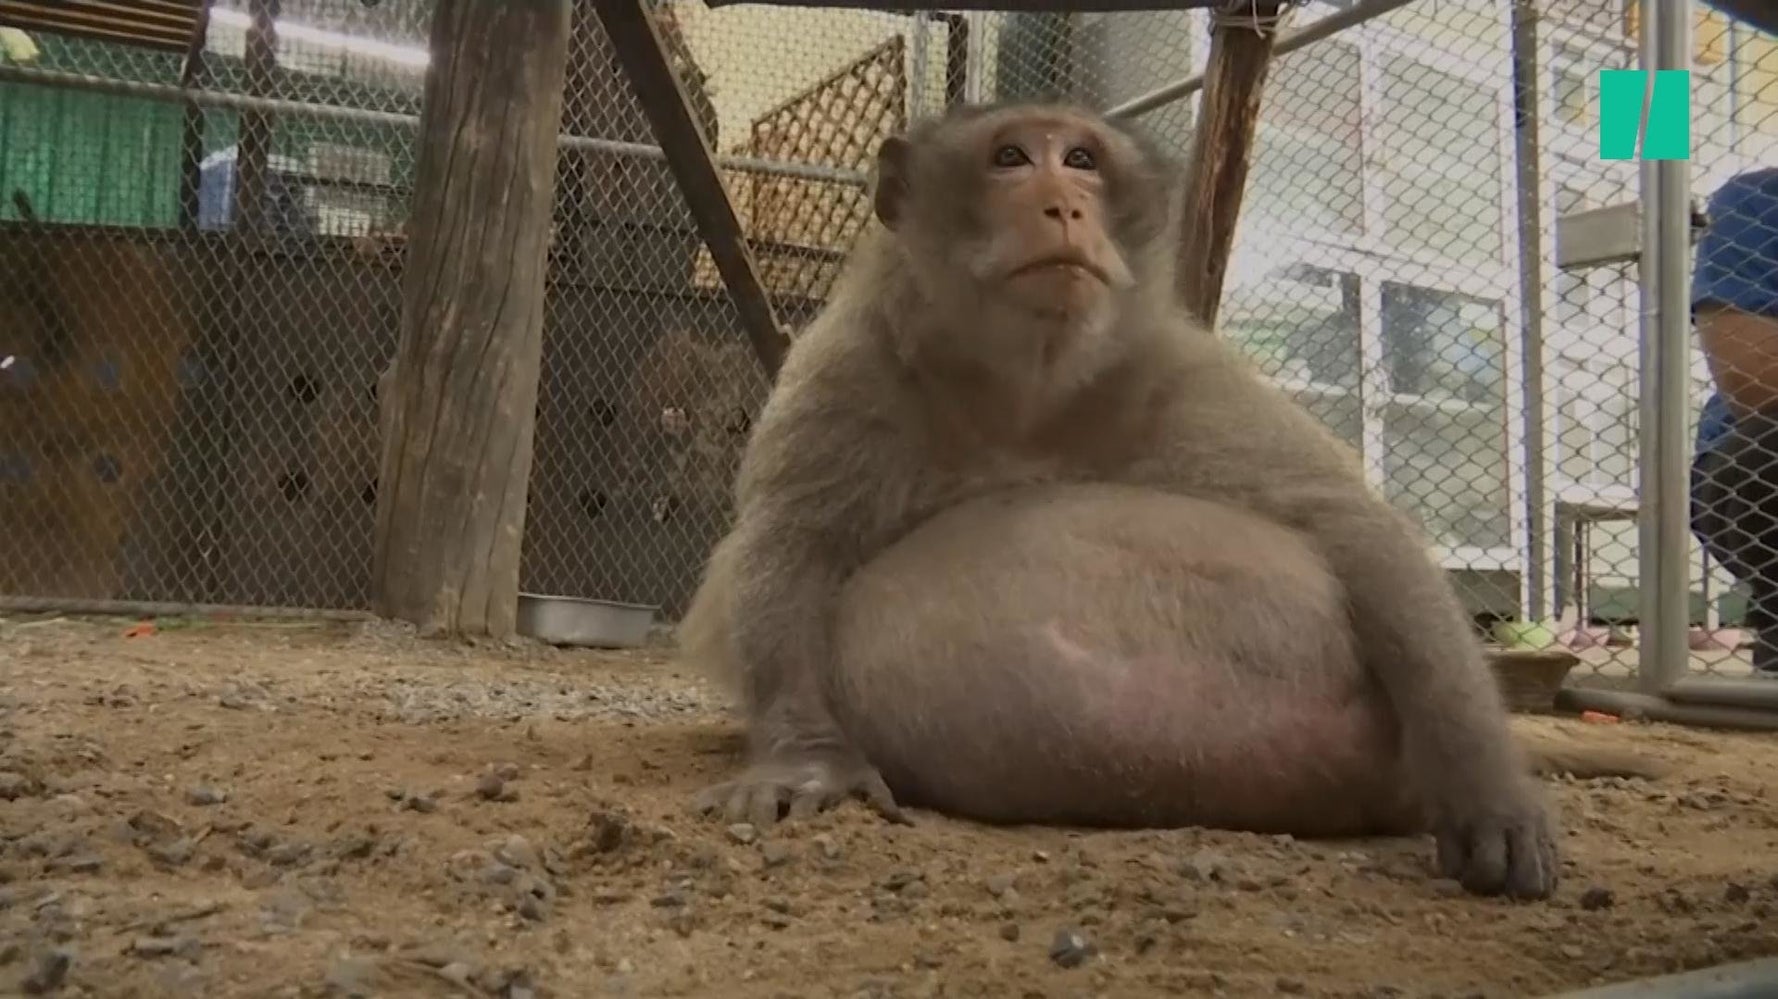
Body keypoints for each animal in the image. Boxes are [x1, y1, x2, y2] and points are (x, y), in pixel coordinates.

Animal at [677, 100, 1562, 899]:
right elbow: (791, 545)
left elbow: (1352, 525)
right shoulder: (849, 367)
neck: (1022, 392)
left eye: (1082, 160)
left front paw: (1488, 787)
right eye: (1009, 158)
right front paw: (808, 761)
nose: (1064, 204)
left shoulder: (1175, 371)